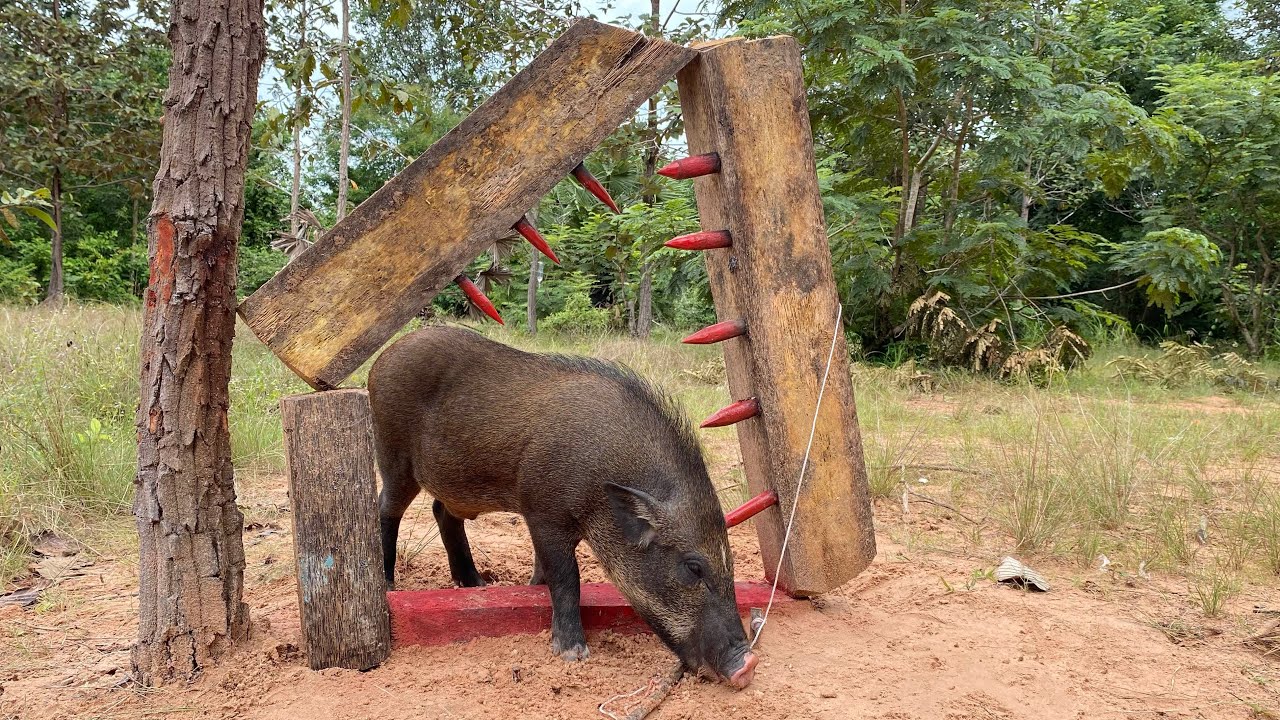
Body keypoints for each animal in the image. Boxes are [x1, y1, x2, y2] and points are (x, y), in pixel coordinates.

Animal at [368, 326, 758, 688]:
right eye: (693, 567)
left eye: (731, 563)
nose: (749, 664)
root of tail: (383, 359)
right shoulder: (543, 513)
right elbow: (567, 577)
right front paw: (573, 655)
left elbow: (546, 572)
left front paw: (530, 589)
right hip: (393, 456)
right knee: (386, 508)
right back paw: (389, 584)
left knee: (441, 511)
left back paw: (476, 585)